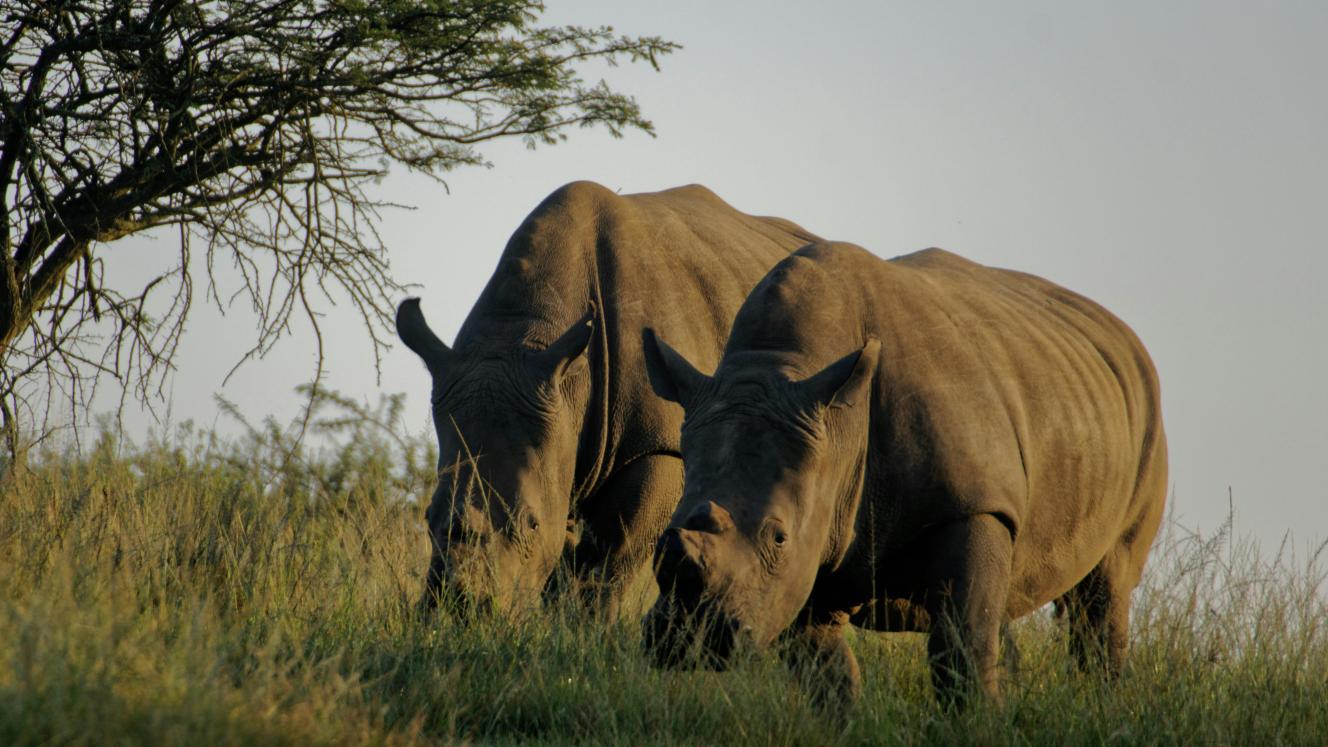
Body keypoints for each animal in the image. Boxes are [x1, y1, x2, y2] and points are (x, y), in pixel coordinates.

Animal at [397, 181, 818, 619]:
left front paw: (584, 627)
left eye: (531, 524)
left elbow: (609, 558)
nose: (458, 611)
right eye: (426, 516)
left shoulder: (657, 445)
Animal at [642, 241, 1168, 705]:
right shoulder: (815, 540)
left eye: (778, 537)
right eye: (663, 537)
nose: (690, 640)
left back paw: (1101, 706)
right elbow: (826, 675)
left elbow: (959, 651)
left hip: (1145, 419)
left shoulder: (972, 507)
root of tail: (1119, 331)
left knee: (1102, 592)